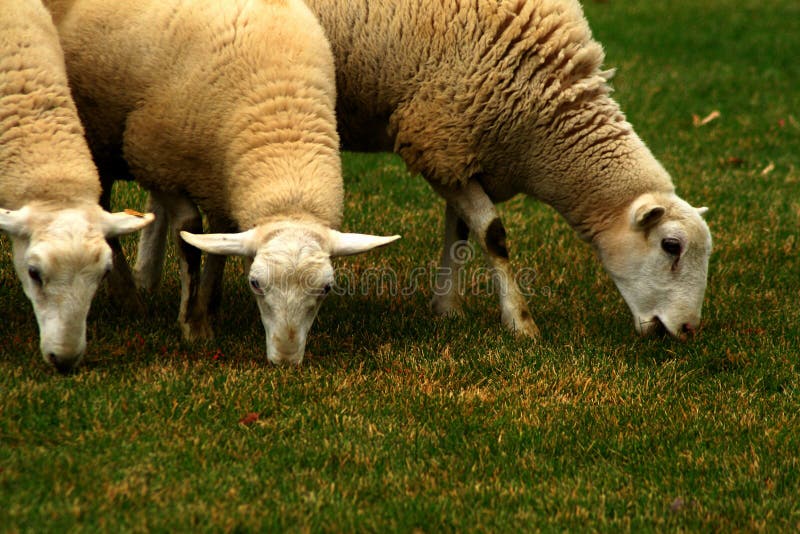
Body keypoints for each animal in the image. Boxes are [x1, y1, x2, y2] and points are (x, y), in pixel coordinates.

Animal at [45, 0, 400, 364]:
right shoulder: (158, 160)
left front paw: (207, 309)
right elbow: (190, 236)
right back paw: (129, 299)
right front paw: (192, 323)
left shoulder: (221, 182)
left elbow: (220, 244)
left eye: (326, 288)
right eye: (255, 283)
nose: (285, 361)